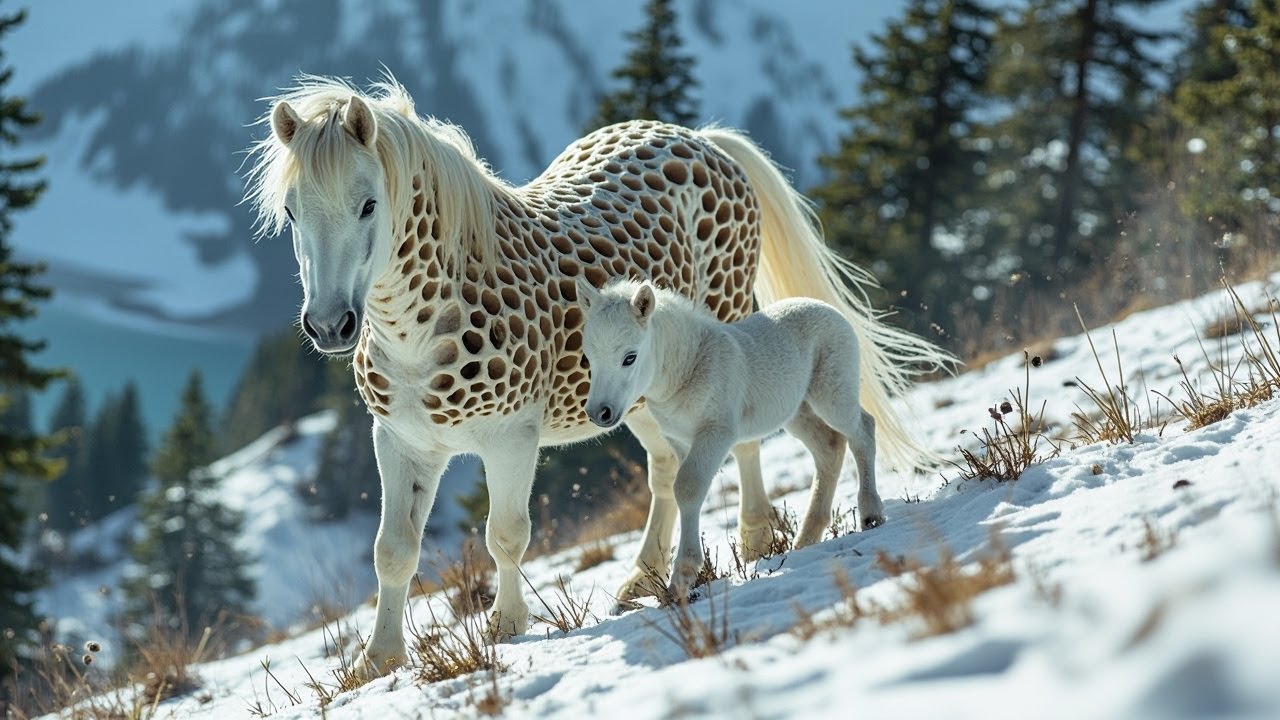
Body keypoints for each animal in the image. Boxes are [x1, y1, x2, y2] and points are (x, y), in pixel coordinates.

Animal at [578, 278, 882, 599]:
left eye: (630, 357)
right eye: (588, 358)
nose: (599, 412)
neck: (688, 367)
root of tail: (829, 309)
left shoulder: (716, 433)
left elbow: (688, 488)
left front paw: (681, 579)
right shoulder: (679, 440)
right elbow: (682, 489)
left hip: (831, 394)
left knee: (862, 430)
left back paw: (870, 515)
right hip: (796, 411)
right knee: (829, 448)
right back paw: (805, 540)